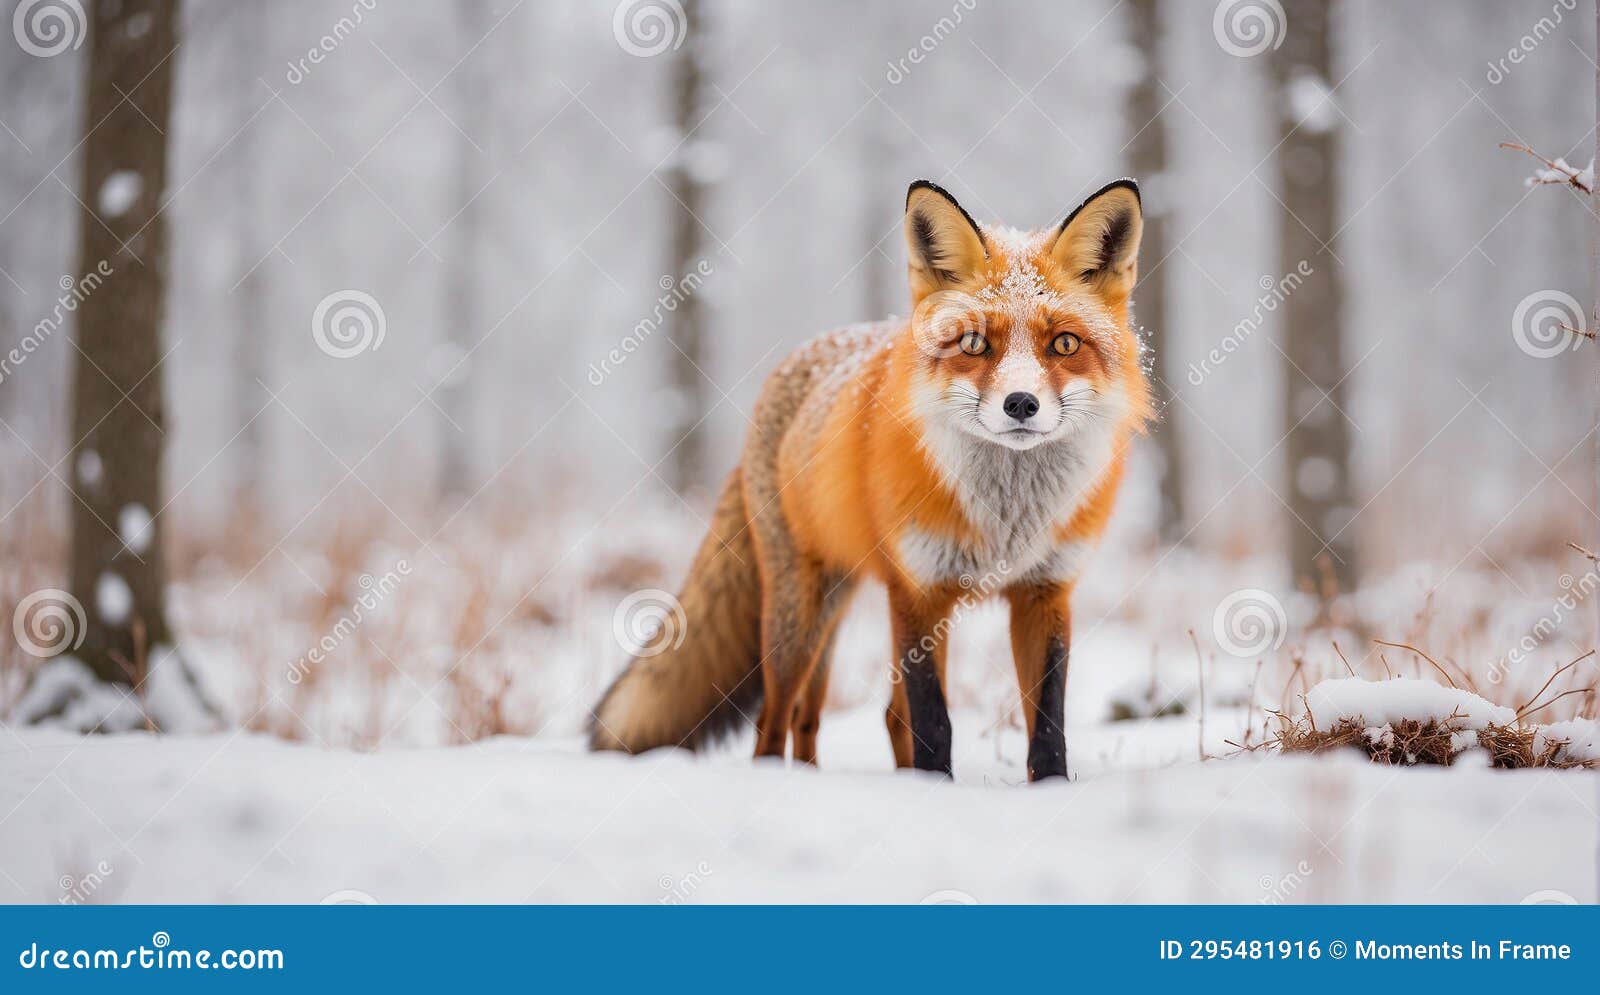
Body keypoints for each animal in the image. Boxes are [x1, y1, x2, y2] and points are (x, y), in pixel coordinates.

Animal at [589, 178, 1150, 781]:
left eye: (1064, 344)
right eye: (974, 343)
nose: (1021, 403)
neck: (1006, 518)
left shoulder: (1044, 593)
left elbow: (1047, 728)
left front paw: (1047, 790)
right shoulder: (918, 591)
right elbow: (934, 722)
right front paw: (934, 789)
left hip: (841, 601)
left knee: (838, 715)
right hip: (799, 616)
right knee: (776, 718)